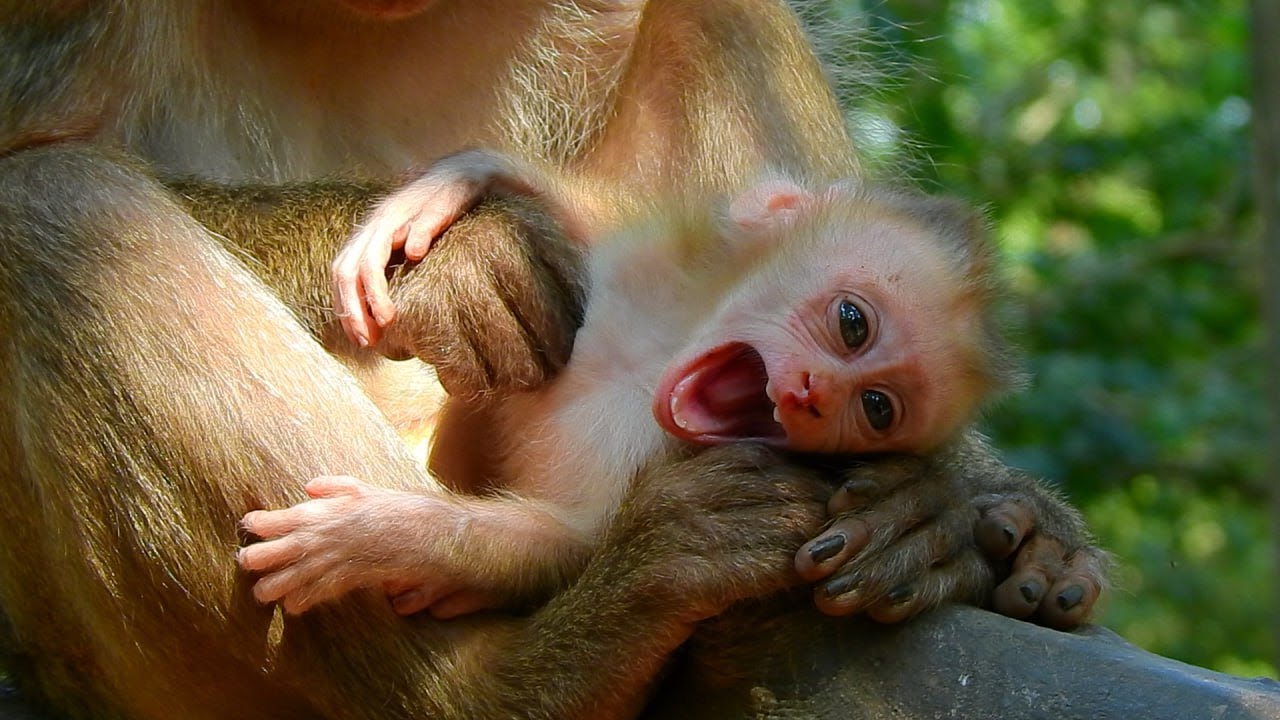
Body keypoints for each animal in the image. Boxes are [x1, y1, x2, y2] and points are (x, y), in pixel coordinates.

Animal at [233, 147, 1031, 620]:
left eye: (877, 409)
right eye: (852, 323)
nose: (814, 394)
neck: (651, 359)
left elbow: (565, 539)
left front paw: (373, 540)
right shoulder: (643, 268)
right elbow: (585, 230)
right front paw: (453, 187)